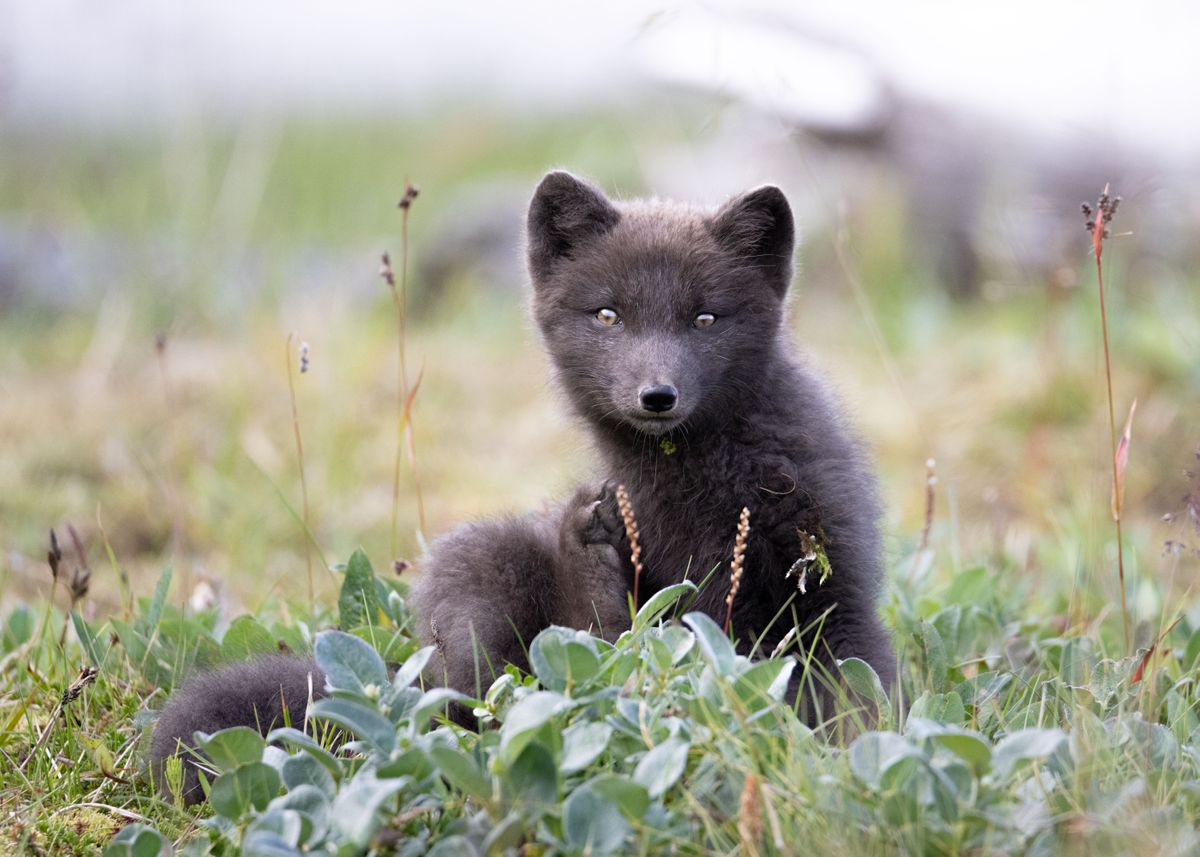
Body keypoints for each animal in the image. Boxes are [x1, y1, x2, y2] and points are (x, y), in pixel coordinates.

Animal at [149, 171, 894, 802]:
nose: (657, 395)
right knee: (512, 692)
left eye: (706, 318)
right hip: (477, 565)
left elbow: (859, 695)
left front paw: (844, 763)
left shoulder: (833, 591)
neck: (702, 487)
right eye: (608, 315)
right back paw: (584, 560)